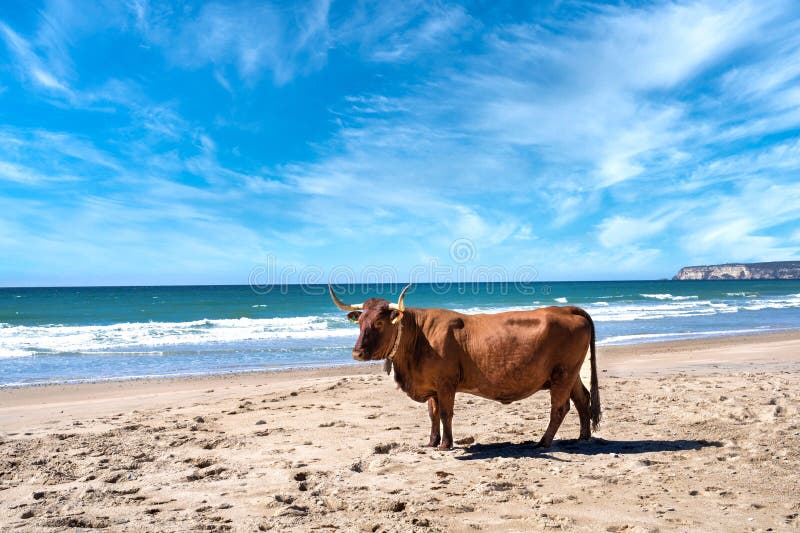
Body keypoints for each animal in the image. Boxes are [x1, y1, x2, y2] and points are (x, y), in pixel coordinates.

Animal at [329, 283, 601, 450]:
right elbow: (433, 414)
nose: (357, 353)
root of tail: (566, 309)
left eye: (380, 322)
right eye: (360, 322)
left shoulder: (446, 383)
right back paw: (583, 437)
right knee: (582, 399)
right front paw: (431, 442)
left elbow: (446, 413)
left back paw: (543, 442)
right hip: (570, 373)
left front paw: (446, 444)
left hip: (562, 374)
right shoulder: (432, 386)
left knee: (560, 408)